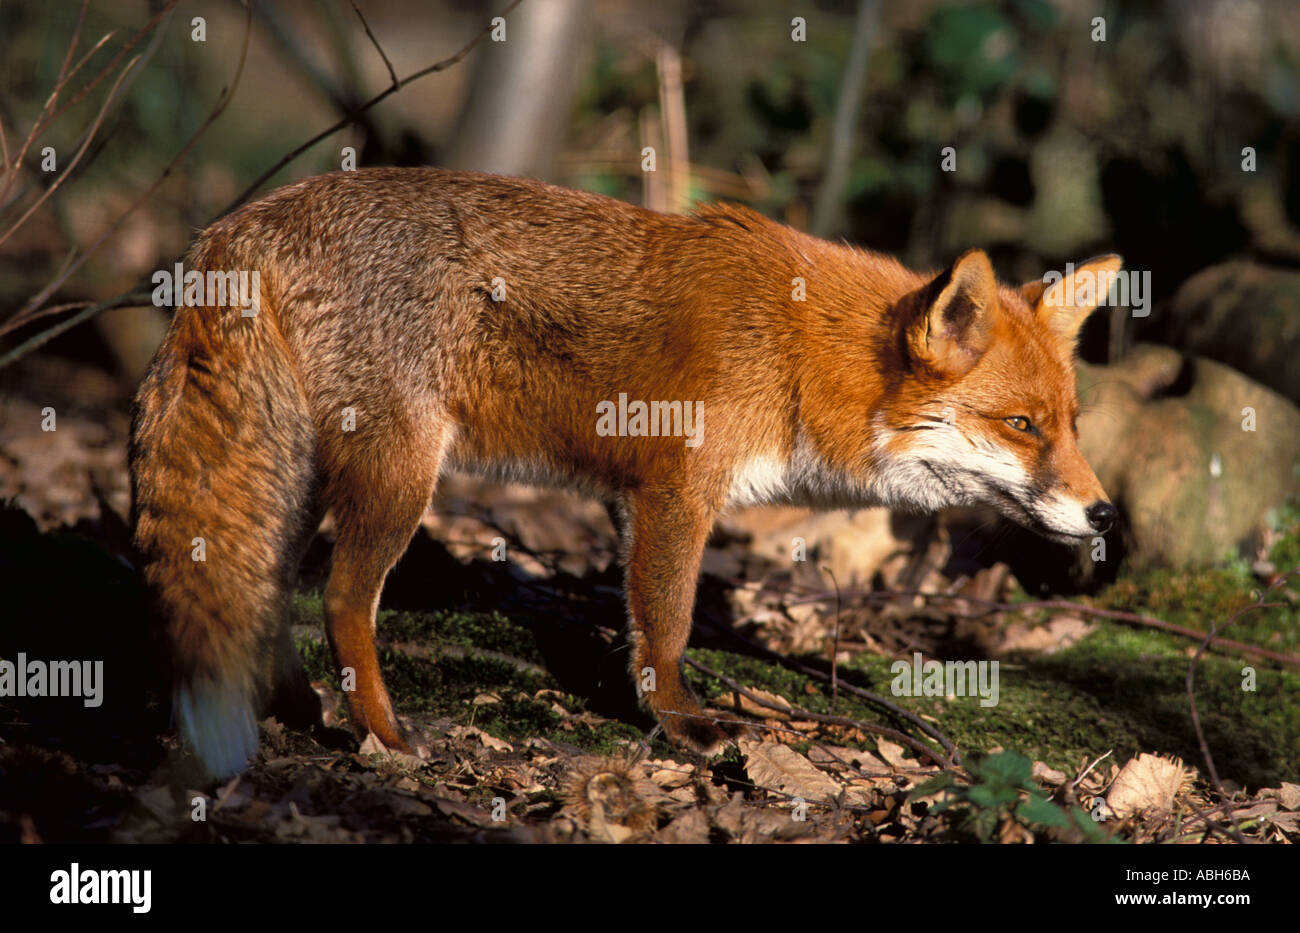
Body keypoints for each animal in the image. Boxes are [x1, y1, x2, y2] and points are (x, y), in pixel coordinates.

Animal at [129, 167, 1119, 779]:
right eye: (1021, 425)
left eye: (1073, 426)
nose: (1107, 516)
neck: (798, 350)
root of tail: (236, 225)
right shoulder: (676, 488)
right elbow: (669, 624)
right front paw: (681, 724)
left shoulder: (628, 499)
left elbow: (639, 624)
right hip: (400, 479)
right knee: (339, 601)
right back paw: (384, 735)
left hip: (298, 476)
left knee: (266, 596)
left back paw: (302, 711)